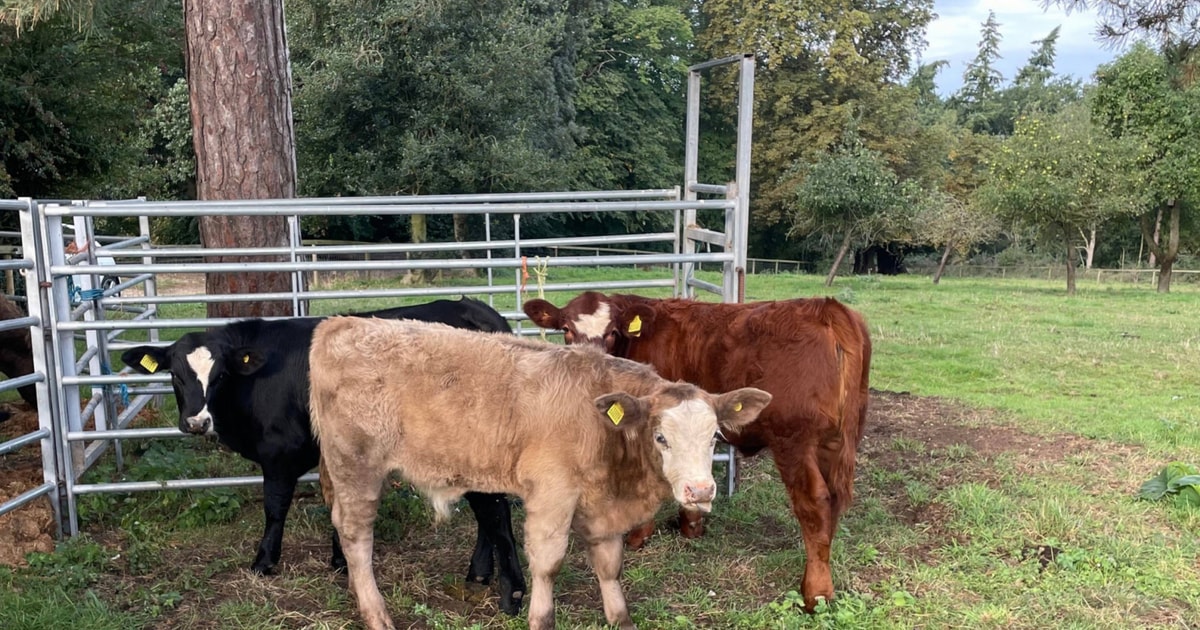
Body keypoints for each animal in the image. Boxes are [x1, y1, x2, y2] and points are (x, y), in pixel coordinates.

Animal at [120, 298, 527, 615]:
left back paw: (508, 591)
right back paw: (479, 572)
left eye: (220, 375)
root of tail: (473, 310)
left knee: (494, 510)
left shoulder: (280, 455)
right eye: (175, 375)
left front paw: (264, 561)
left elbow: (275, 508)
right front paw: (340, 560)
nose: (196, 422)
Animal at [309, 316, 771, 630]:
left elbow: (609, 564)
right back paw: (375, 613)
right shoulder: (552, 494)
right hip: (356, 466)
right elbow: (548, 564)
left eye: (715, 436)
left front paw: (619, 617)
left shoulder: (602, 508)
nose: (700, 490)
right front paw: (540, 617)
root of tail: (343, 323)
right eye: (661, 438)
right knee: (355, 536)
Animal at [522, 291, 871, 611]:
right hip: (834, 441)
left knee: (814, 503)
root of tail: (826, 308)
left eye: (611, 331)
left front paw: (640, 534)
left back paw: (816, 590)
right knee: (832, 503)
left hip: (795, 441)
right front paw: (690, 523)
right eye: (566, 329)